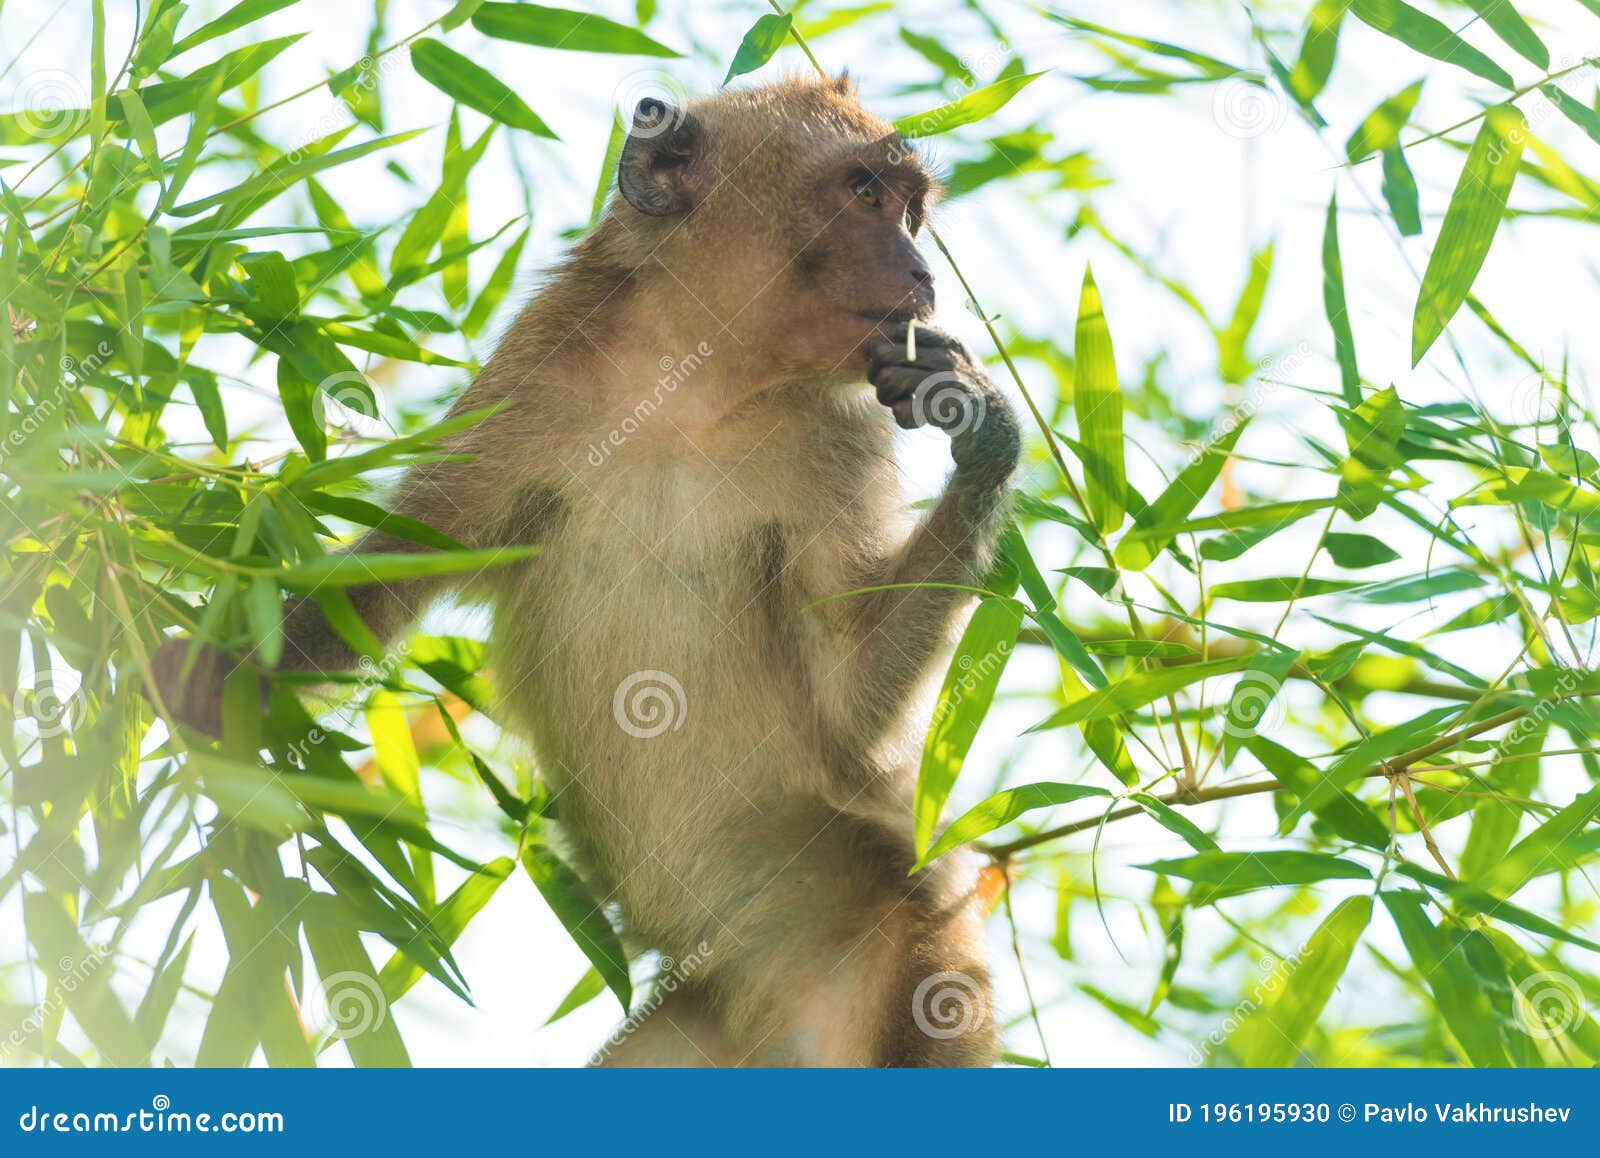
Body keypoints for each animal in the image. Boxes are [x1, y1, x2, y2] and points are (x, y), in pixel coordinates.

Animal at [153, 76, 1021, 1066]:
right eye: (867, 194)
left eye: (912, 211)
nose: (923, 276)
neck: (700, 381)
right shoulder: (538, 376)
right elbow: (399, 567)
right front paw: (219, 673)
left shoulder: (847, 435)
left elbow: (849, 705)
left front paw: (980, 425)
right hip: (704, 1019)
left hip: (907, 936)